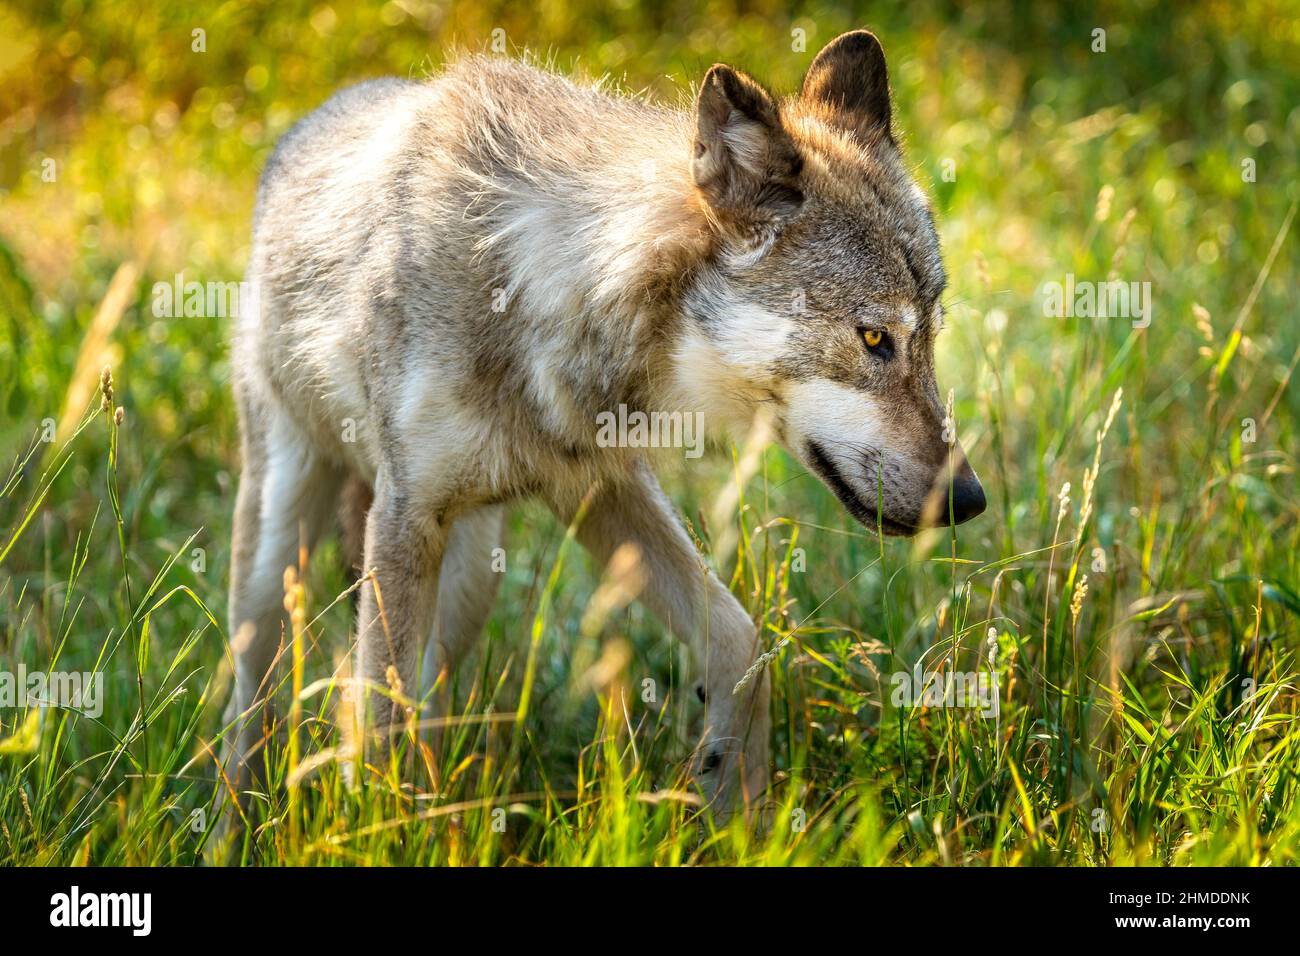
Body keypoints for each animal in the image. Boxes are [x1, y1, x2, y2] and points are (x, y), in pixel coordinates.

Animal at [220, 30, 985, 823]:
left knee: (427, 700)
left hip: (470, 577)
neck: (528, 278)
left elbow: (741, 642)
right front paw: (375, 830)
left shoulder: (601, 489)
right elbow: (377, 731)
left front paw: (734, 810)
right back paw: (231, 826)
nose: (968, 500)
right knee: (250, 708)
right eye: (874, 339)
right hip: (277, 549)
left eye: (930, 335)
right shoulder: (404, 519)